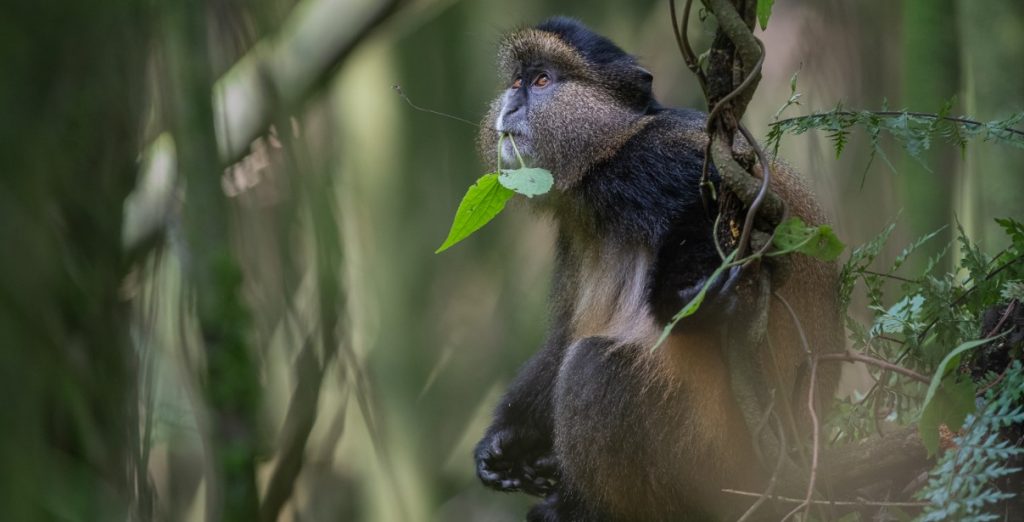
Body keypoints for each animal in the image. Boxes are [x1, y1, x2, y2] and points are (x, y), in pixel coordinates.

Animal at [473, 17, 844, 521]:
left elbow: (745, 220)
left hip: (706, 466)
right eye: (516, 81)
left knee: (594, 365)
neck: (603, 153)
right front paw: (504, 442)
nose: (511, 103)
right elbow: (562, 333)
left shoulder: (653, 160)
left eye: (543, 81)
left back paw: (579, 507)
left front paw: (692, 302)